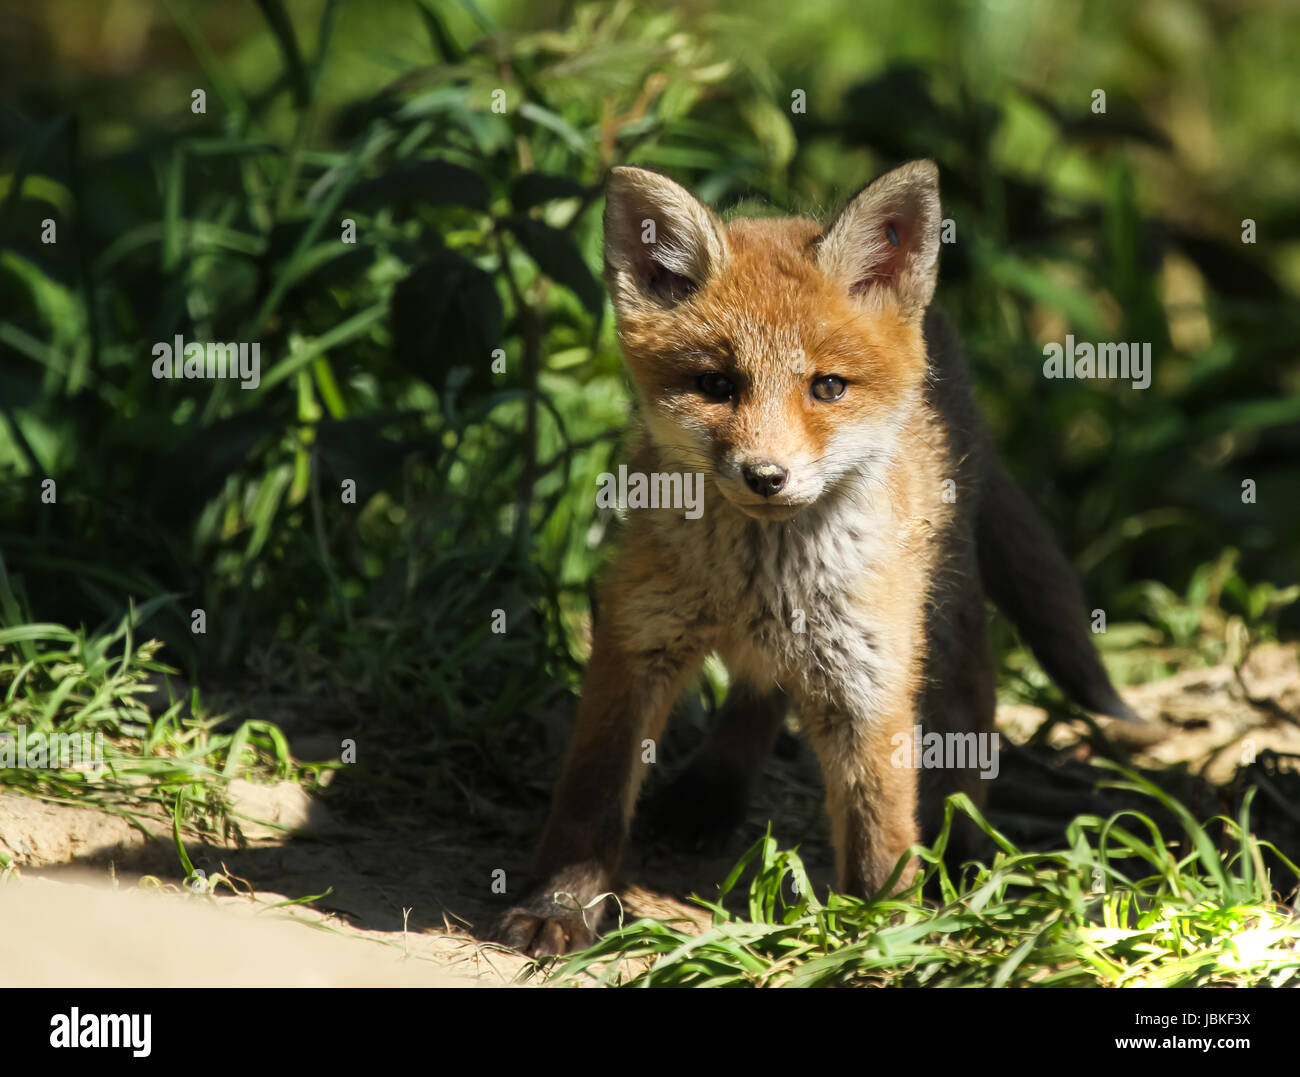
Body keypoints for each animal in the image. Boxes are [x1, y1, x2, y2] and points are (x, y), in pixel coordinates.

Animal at [498, 160, 1134, 957]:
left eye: (827, 386)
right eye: (716, 385)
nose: (766, 476)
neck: (758, 580)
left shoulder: (868, 679)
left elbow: (878, 828)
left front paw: (884, 932)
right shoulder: (637, 637)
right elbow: (591, 795)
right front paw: (561, 904)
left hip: (943, 615)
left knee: (969, 716)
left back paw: (964, 854)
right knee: (757, 693)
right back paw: (710, 794)